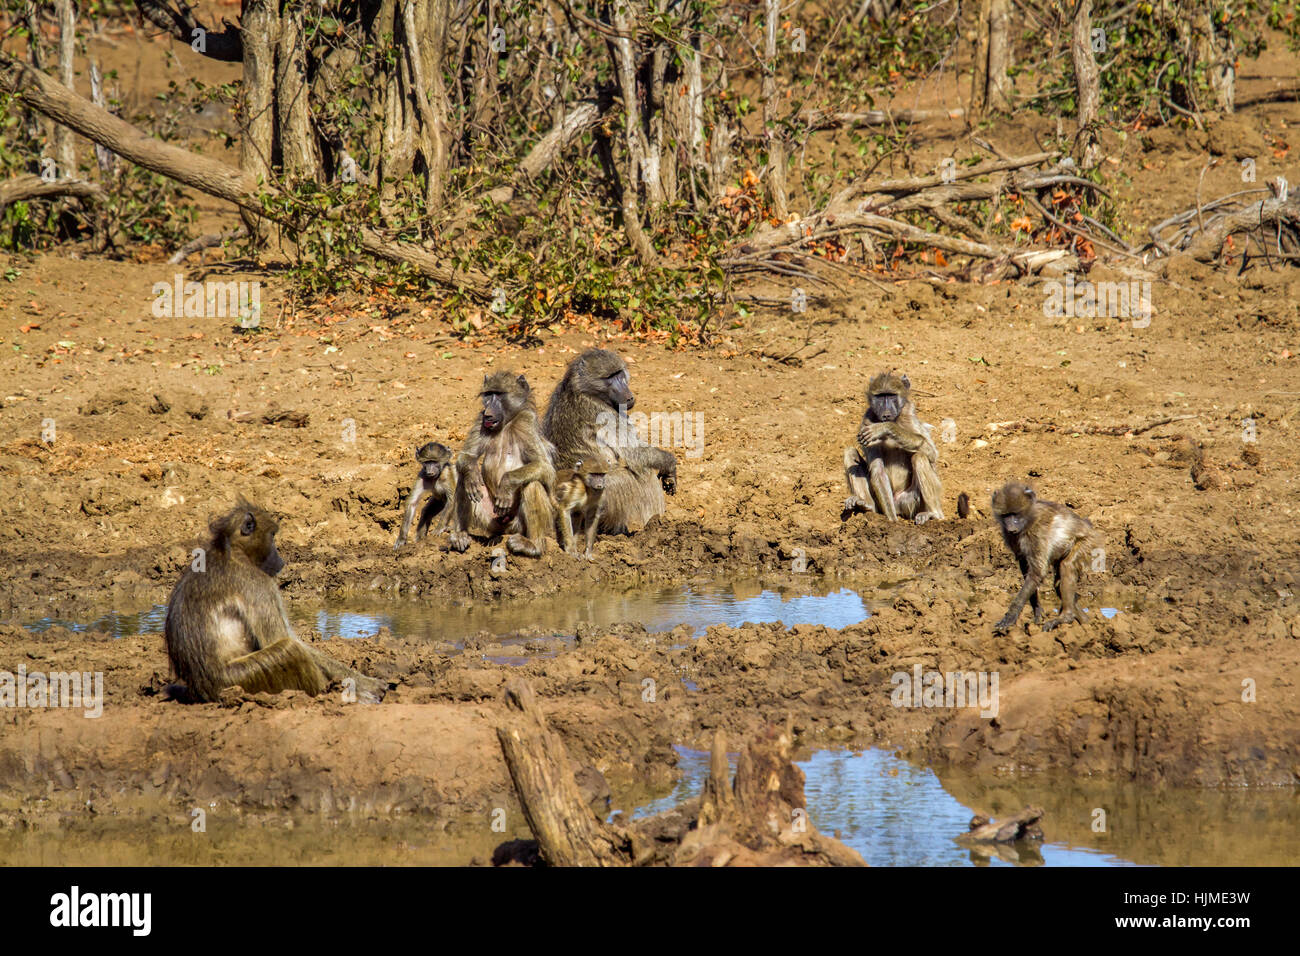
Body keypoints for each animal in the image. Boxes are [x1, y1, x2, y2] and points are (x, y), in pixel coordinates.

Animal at [164, 501, 388, 703]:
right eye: (272, 536)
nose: (281, 560)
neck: (232, 550)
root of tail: (202, 690)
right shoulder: (258, 583)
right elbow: (282, 638)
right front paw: (365, 685)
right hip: (244, 678)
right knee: (289, 649)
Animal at [446, 371, 556, 557]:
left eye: (499, 394)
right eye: (488, 394)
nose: (489, 413)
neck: (506, 423)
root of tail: (505, 529)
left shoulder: (526, 421)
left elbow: (545, 468)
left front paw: (506, 485)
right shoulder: (480, 420)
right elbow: (467, 456)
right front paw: (472, 474)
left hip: (517, 525)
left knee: (532, 484)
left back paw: (533, 545)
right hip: (492, 521)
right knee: (464, 480)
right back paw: (461, 535)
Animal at [542, 348, 677, 535]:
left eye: (619, 374)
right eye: (609, 378)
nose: (628, 397)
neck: (583, 389)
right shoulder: (604, 412)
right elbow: (636, 454)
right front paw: (670, 465)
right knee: (644, 473)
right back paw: (654, 525)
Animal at [842, 372, 944, 525]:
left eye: (891, 396)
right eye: (880, 396)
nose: (886, 414)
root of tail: (898, 506)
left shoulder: (908, 414)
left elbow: (932, 452)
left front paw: (885, 428)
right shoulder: (866, 421)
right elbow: (878, 470)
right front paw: (892, 522)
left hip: (909, 501)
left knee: (919, 457)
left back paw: (934, 514)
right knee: (850, 451)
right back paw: (867, 505)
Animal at [990, 480, 1097, 635]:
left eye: (1015, 514)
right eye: (1006, 515)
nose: (1011, 528)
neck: (1029, 519)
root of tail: (1089, 526)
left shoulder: (1037, 532)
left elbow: (1038, 572)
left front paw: (1011, 616)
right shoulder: (1011, 536)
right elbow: (1027, 568)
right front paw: (1037, 609)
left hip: (1086, 542)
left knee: (1067, 567)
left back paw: (1066, 617)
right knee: (1058, 584)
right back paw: (1085, 622)